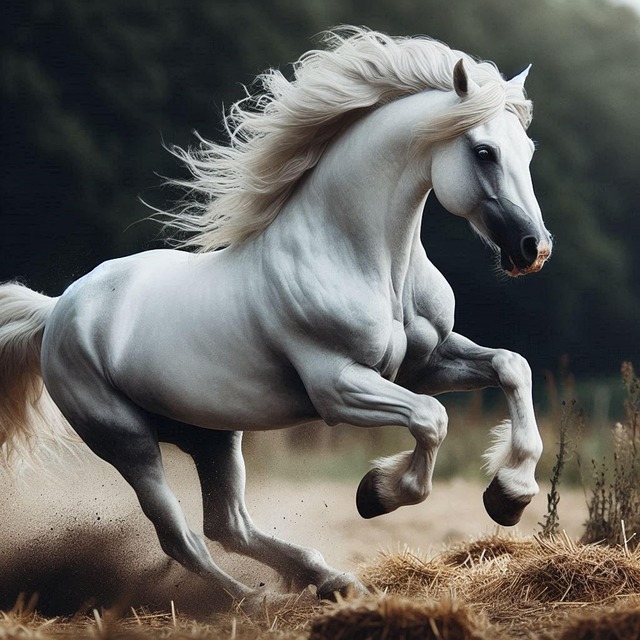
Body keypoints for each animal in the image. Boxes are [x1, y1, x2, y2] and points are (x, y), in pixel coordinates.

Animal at [0, 27, 552, 609]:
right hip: (126, 441)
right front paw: (377, 492)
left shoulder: (425, 364)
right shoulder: (338, 387)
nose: (532, 248)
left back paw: (331, 580)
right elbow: (431, 419)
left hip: (212, 437)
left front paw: (509, 494)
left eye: (527, 149)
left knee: (228, 525)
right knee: (182, 537)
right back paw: (260, 601)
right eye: (484, 151)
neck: (361, 258)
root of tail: (57, 308)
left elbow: (512, 367)